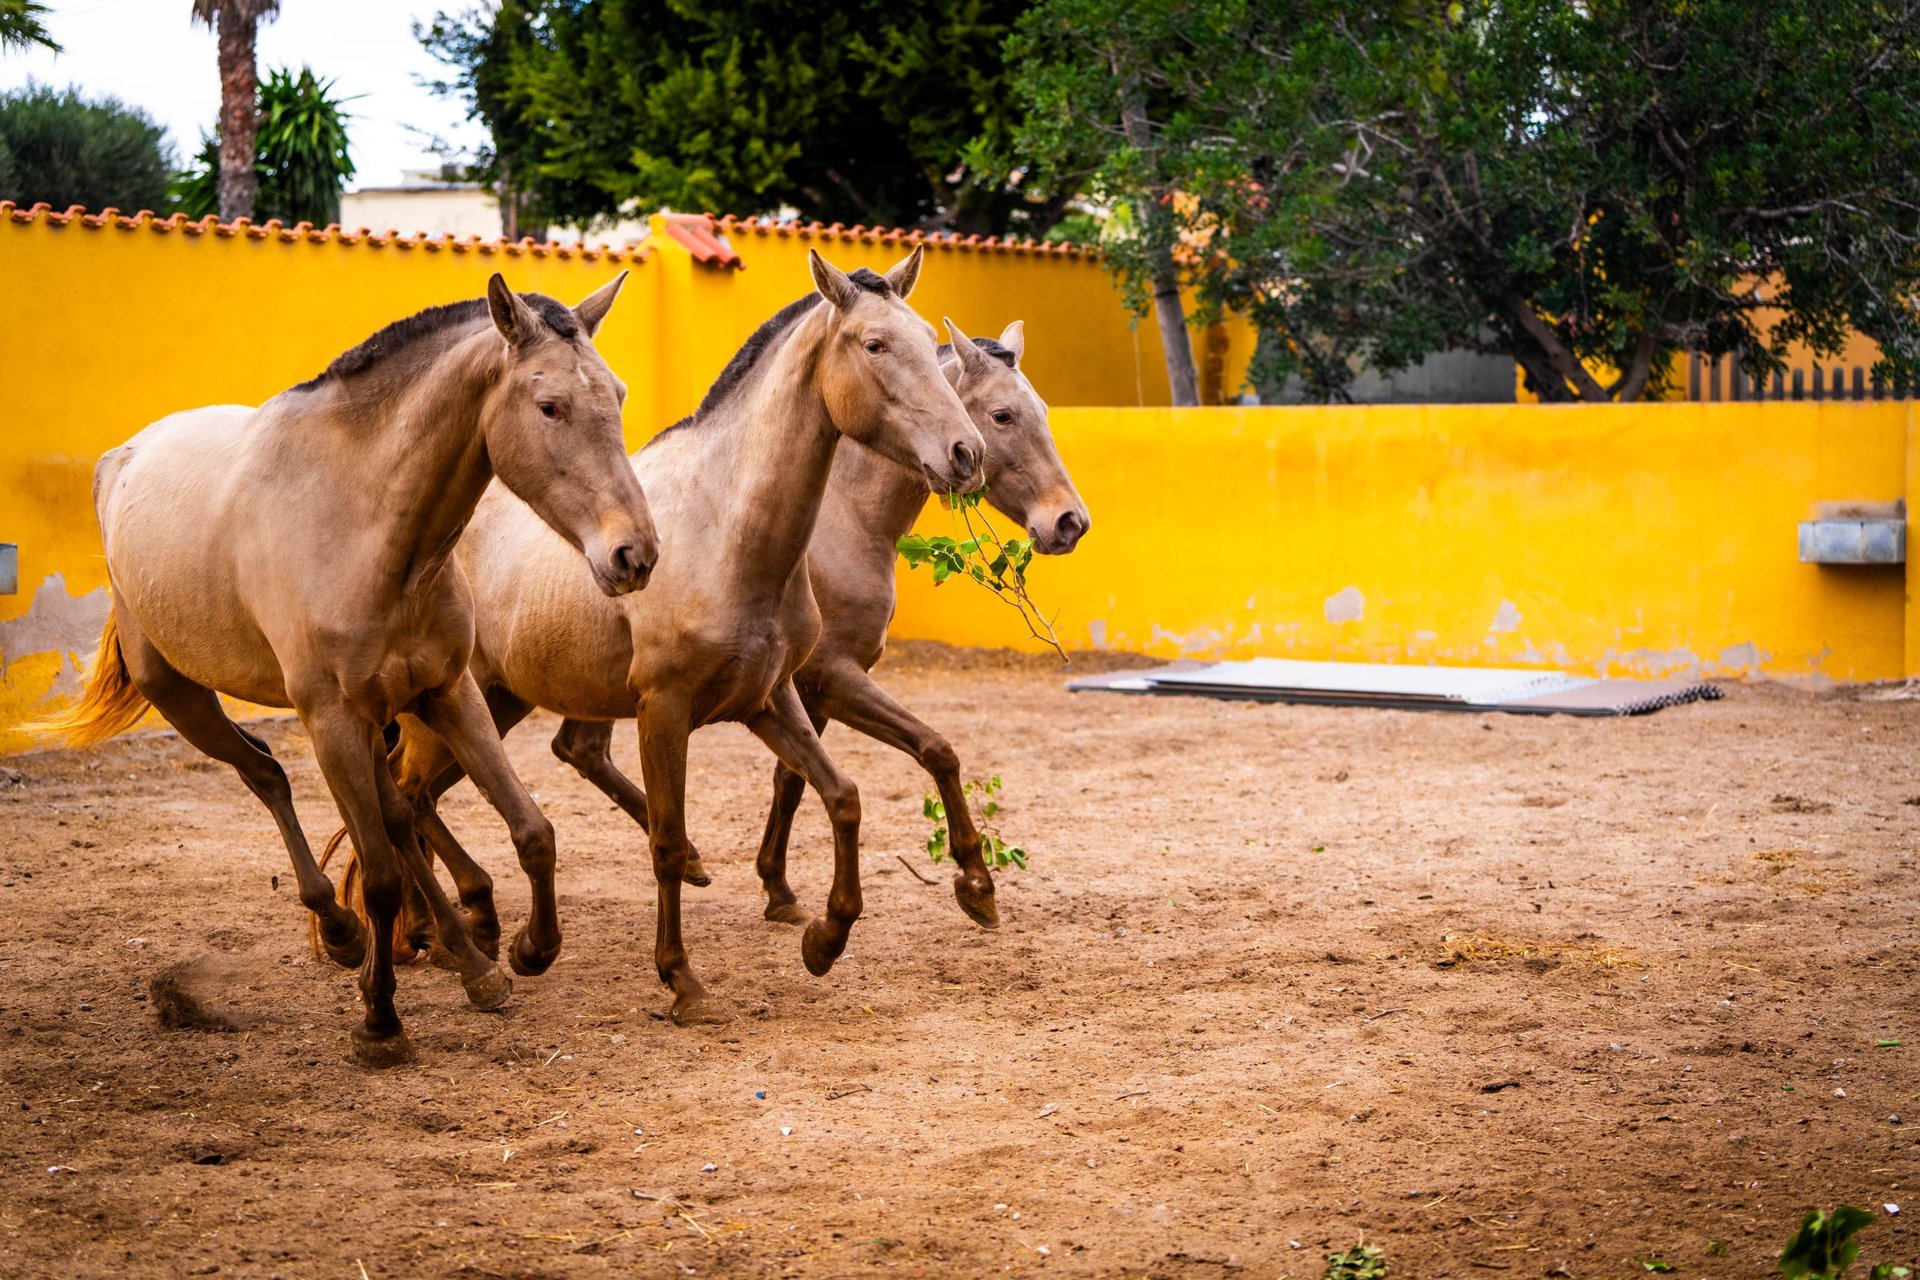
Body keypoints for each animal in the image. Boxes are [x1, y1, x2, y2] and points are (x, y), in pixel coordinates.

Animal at [32, 274, 657, 1066]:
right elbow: (383, 876)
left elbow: (531, 829)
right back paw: (340, 927)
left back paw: (466, 958)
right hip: (185, 696)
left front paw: (527, 950)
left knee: (392, 810)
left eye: (619, 394)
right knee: (269, 775)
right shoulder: (330, 717)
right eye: (550, 406)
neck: (365, 525)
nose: (635, 554)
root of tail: (122, 457)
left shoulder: (448, 692)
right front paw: (380, 1022)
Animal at [354, 247, 986, 1025]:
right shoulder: (666, 709)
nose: (966, 453)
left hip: (493, 705)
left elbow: (843, 795)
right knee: (406, 797)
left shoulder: (769, 699)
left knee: (416, 799)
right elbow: (666, 840)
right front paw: (683, 981)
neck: (729, 531)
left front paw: (826, 936)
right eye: (875, 345)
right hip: (443, 710)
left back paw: (459, 936)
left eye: (927, 338)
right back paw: (460, 942)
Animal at [542, 319, 1089, 930]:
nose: (1070, 522)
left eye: (1042, 410)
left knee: (579, 748)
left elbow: (797, 778)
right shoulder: (832, 677)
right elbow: (930, 750)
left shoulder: (801, 690)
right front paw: (975, 884)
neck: (844, 518)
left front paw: (778, 888)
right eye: (1002, 415)